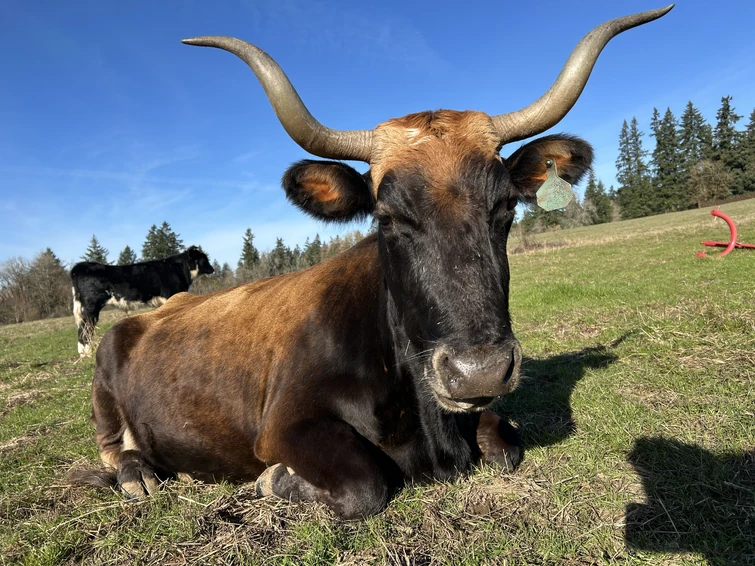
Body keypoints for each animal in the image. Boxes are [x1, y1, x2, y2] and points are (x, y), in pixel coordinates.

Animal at [70, 246, 213, 356]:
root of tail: (81, 266)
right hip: (90, 307)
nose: (213, 269)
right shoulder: (172, 294)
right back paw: (88, 353)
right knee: (85, 329)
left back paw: (83, 354)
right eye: (204, 259)